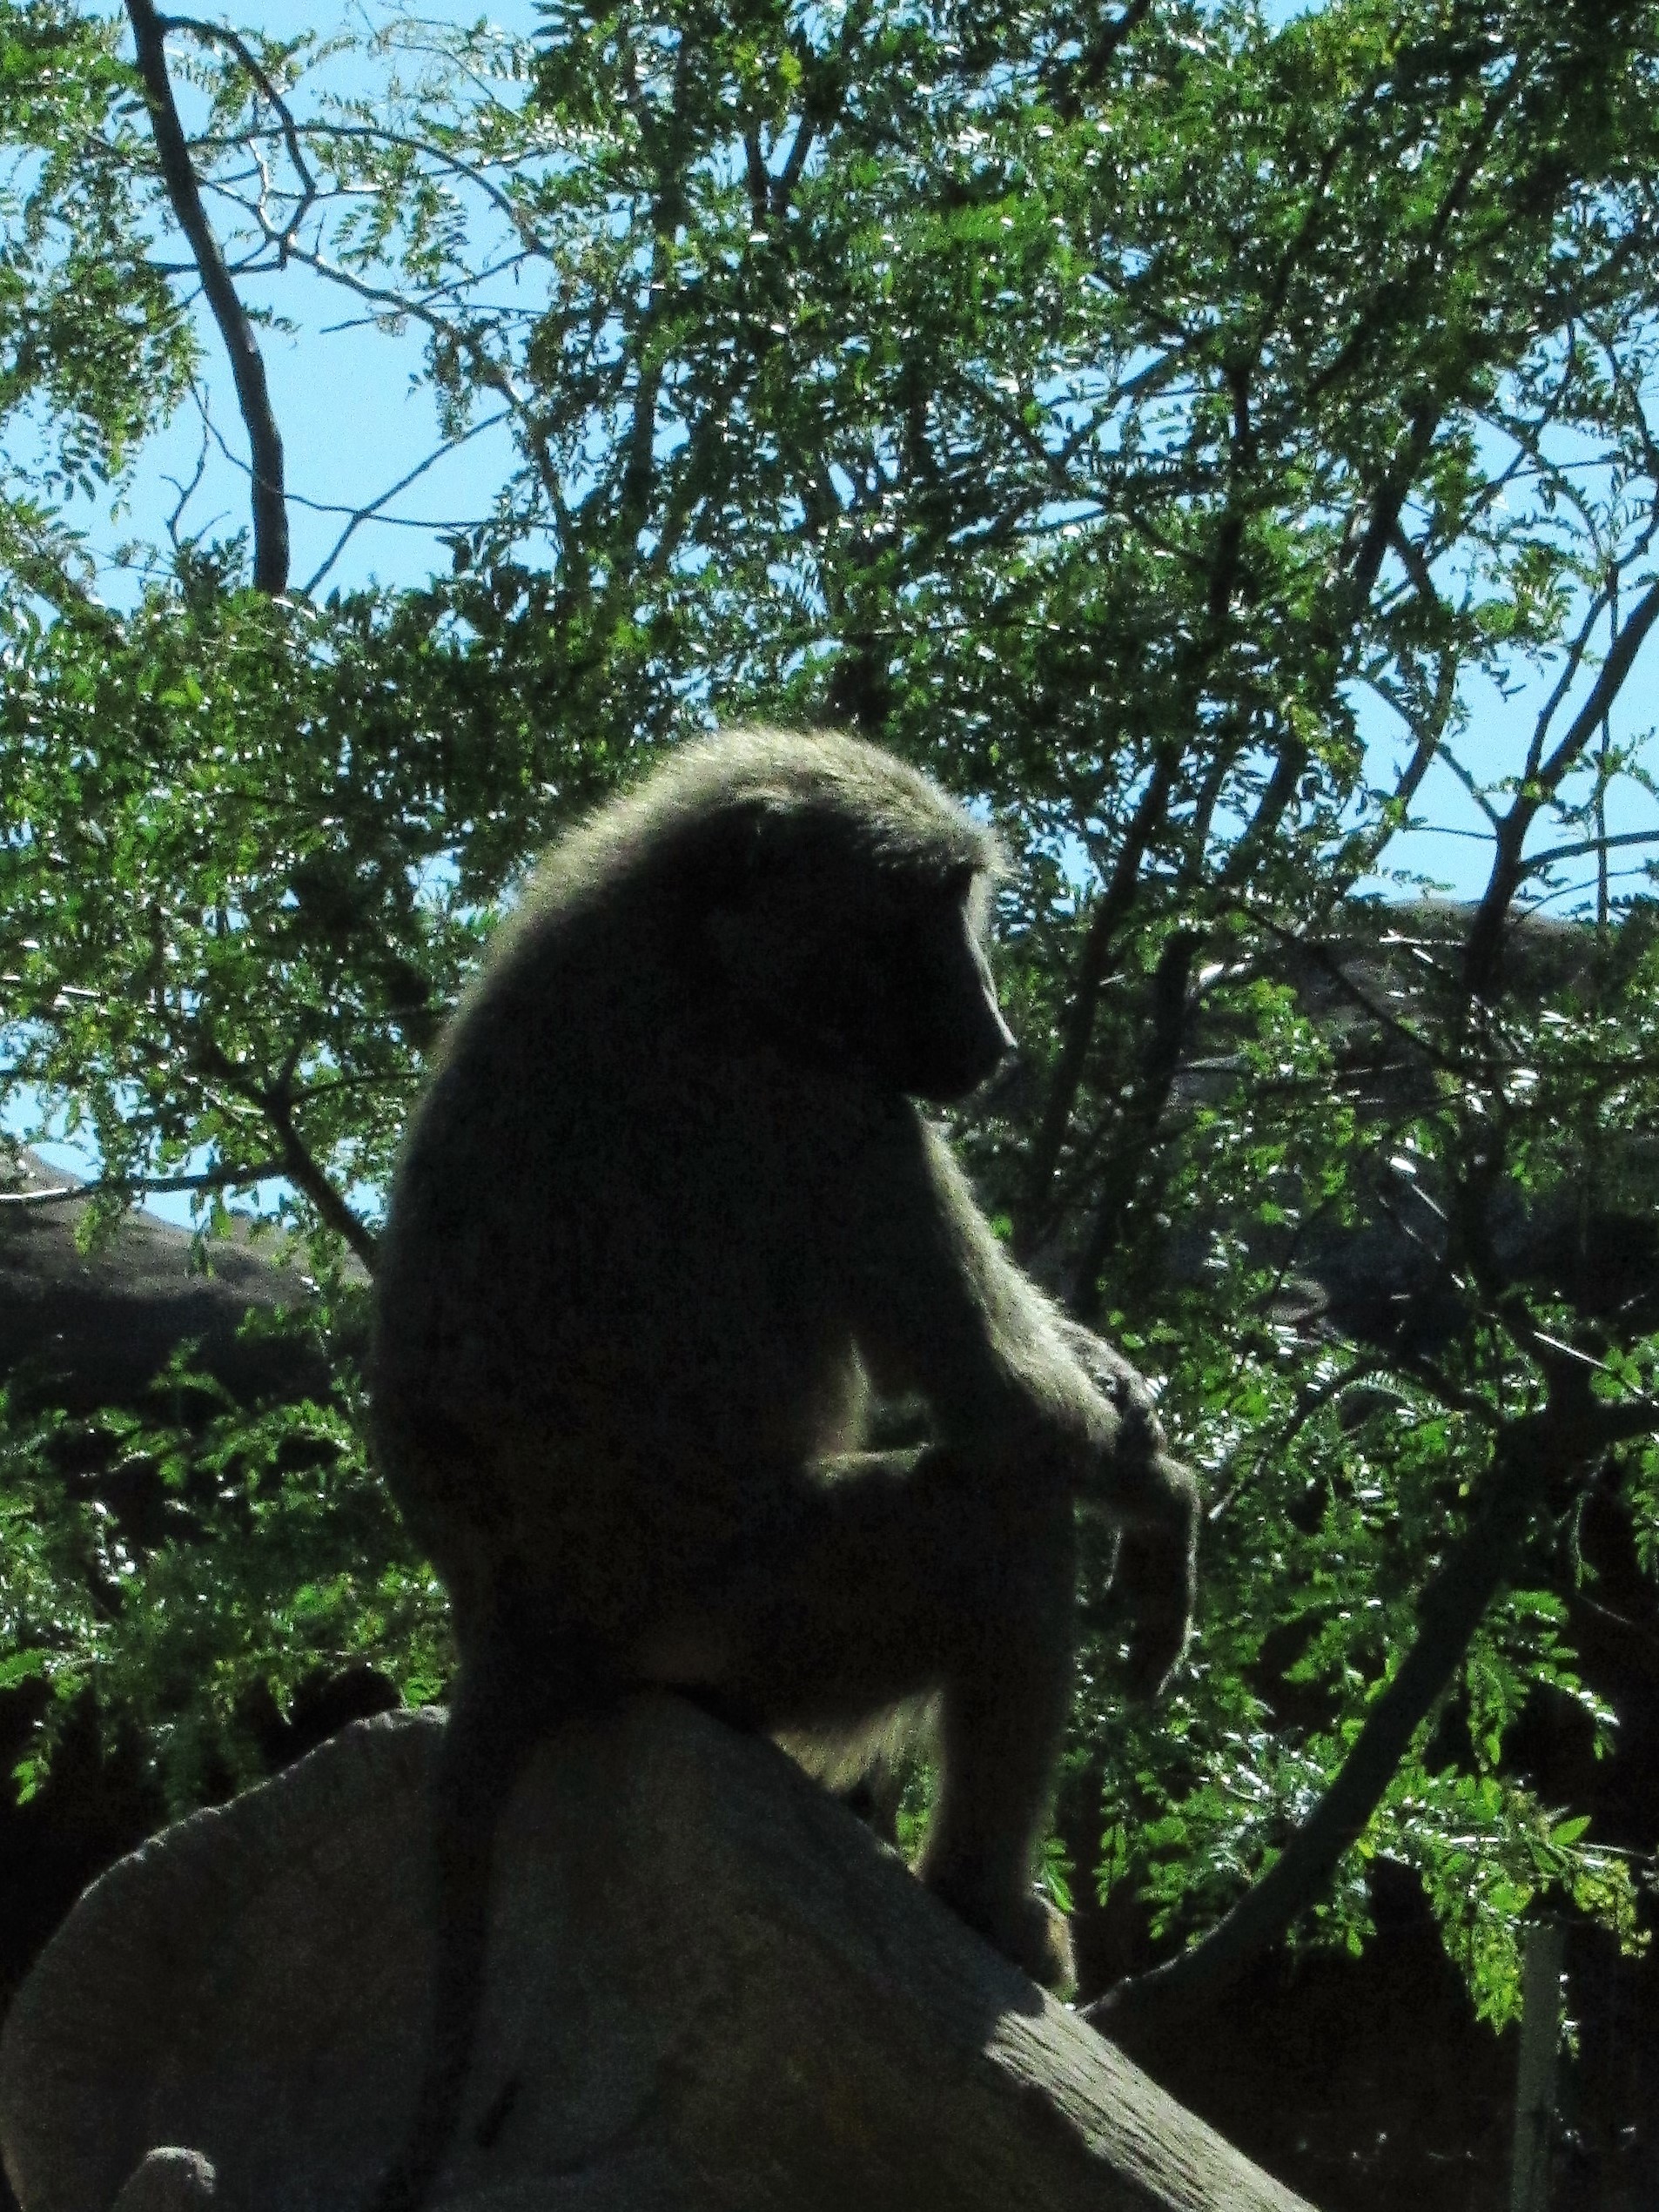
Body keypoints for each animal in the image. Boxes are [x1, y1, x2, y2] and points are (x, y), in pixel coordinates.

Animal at [367, 726, 1199, 2209]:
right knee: (1000, 1527)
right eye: (924, 913)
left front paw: (1116, 1383)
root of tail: (506, 1630)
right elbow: (1006, 1412)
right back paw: (982, 1908)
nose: (997, 1037)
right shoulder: (835, 1106)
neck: (697, 952)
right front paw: (1166, 1505)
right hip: (748, 1617)